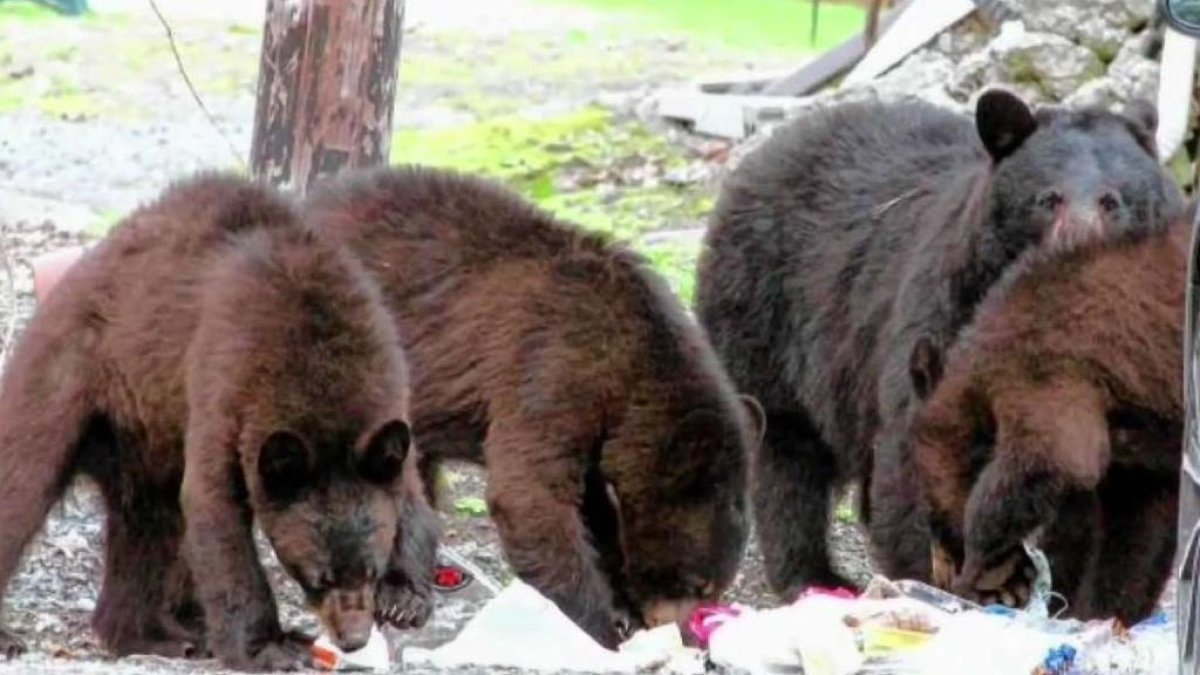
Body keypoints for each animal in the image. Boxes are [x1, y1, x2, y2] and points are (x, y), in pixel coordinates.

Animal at [0, 173, 439, 671]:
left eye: (370, 570)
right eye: (317, 577)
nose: (352, 640)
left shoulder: (390, 396)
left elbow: (411, 493)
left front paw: (404, 597)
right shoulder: (224, 383)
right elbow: (215, 510)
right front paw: (271, 647)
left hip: (144, 438)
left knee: (150, 524)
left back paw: (156, 635)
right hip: (70, 372)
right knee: (23, 481)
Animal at [303, 165, 767, 649]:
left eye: (715, 585)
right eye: (695, 582)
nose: (693, 633)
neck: (633, 360)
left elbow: (590, 507)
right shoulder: (553, 368)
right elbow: (530, 498)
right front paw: (605, 630)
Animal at [910, 205, 1193, 624]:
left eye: (933, 515)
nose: (939, 572)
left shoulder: (1044, 364)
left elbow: (1055, 455)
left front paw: (975, 569)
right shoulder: (1139, 454)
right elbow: (1138, 534)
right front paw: (1102, 613)